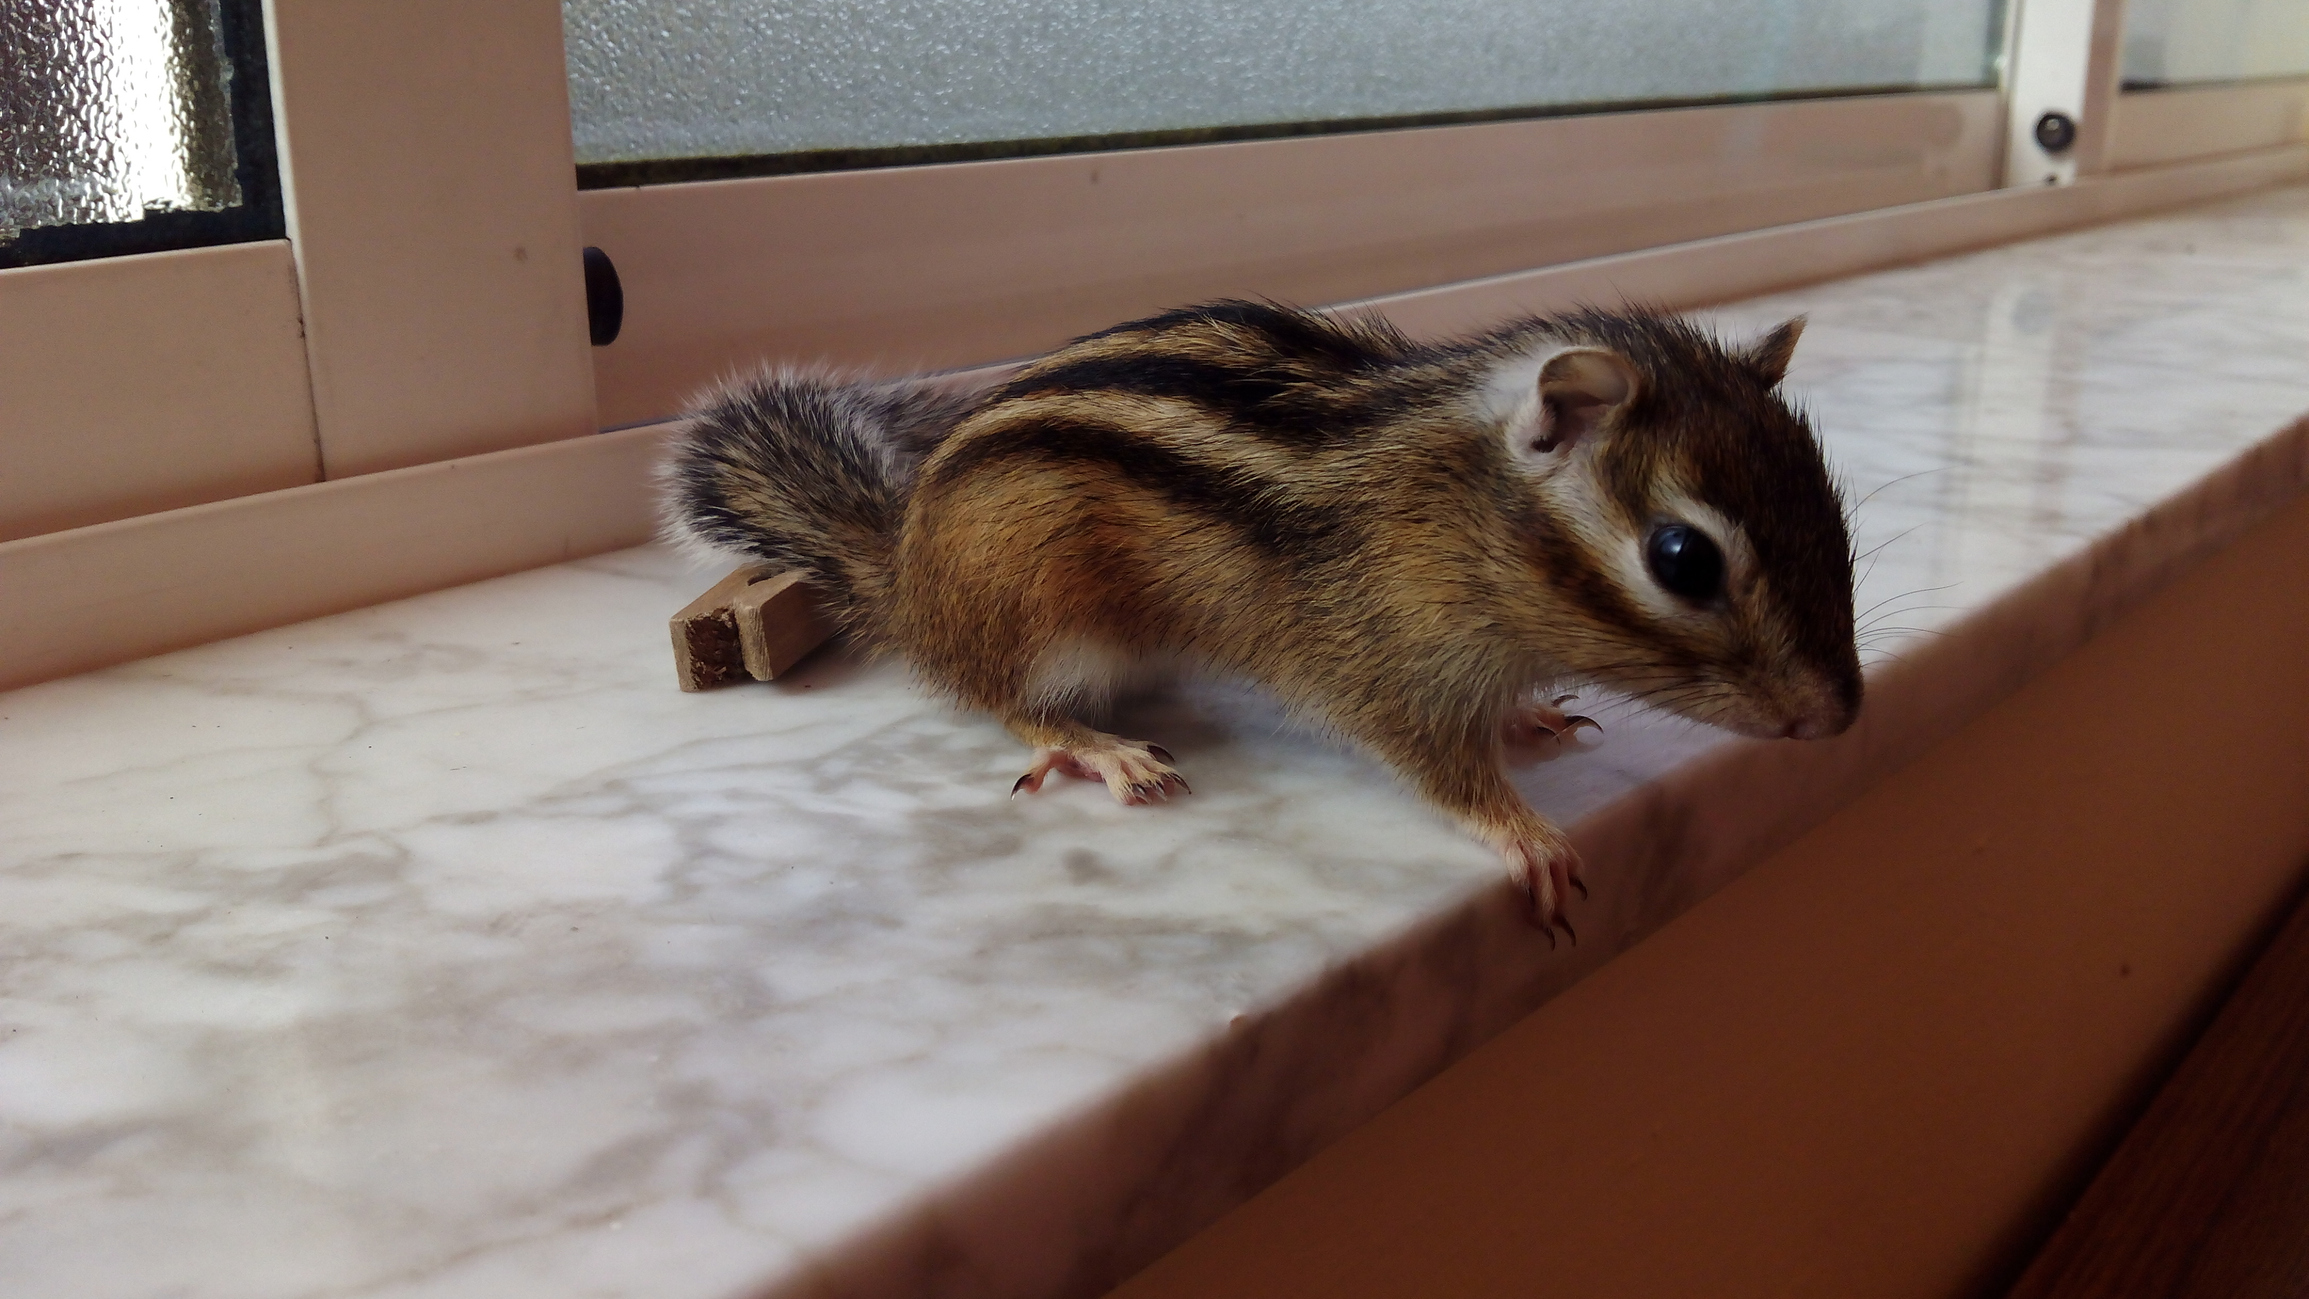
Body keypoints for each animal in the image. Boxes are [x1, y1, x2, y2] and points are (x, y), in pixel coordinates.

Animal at [664, 300, 1862, 938]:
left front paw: (1528, 718)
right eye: (1681, 559)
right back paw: (1094, 744)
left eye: (1831, 499)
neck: (1452, 503)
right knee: (1000, 698)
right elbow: (1435, 765)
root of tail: (906, 575)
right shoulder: (1381, 658)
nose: (1838, 718)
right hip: (1035, 607)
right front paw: (1525, 832)